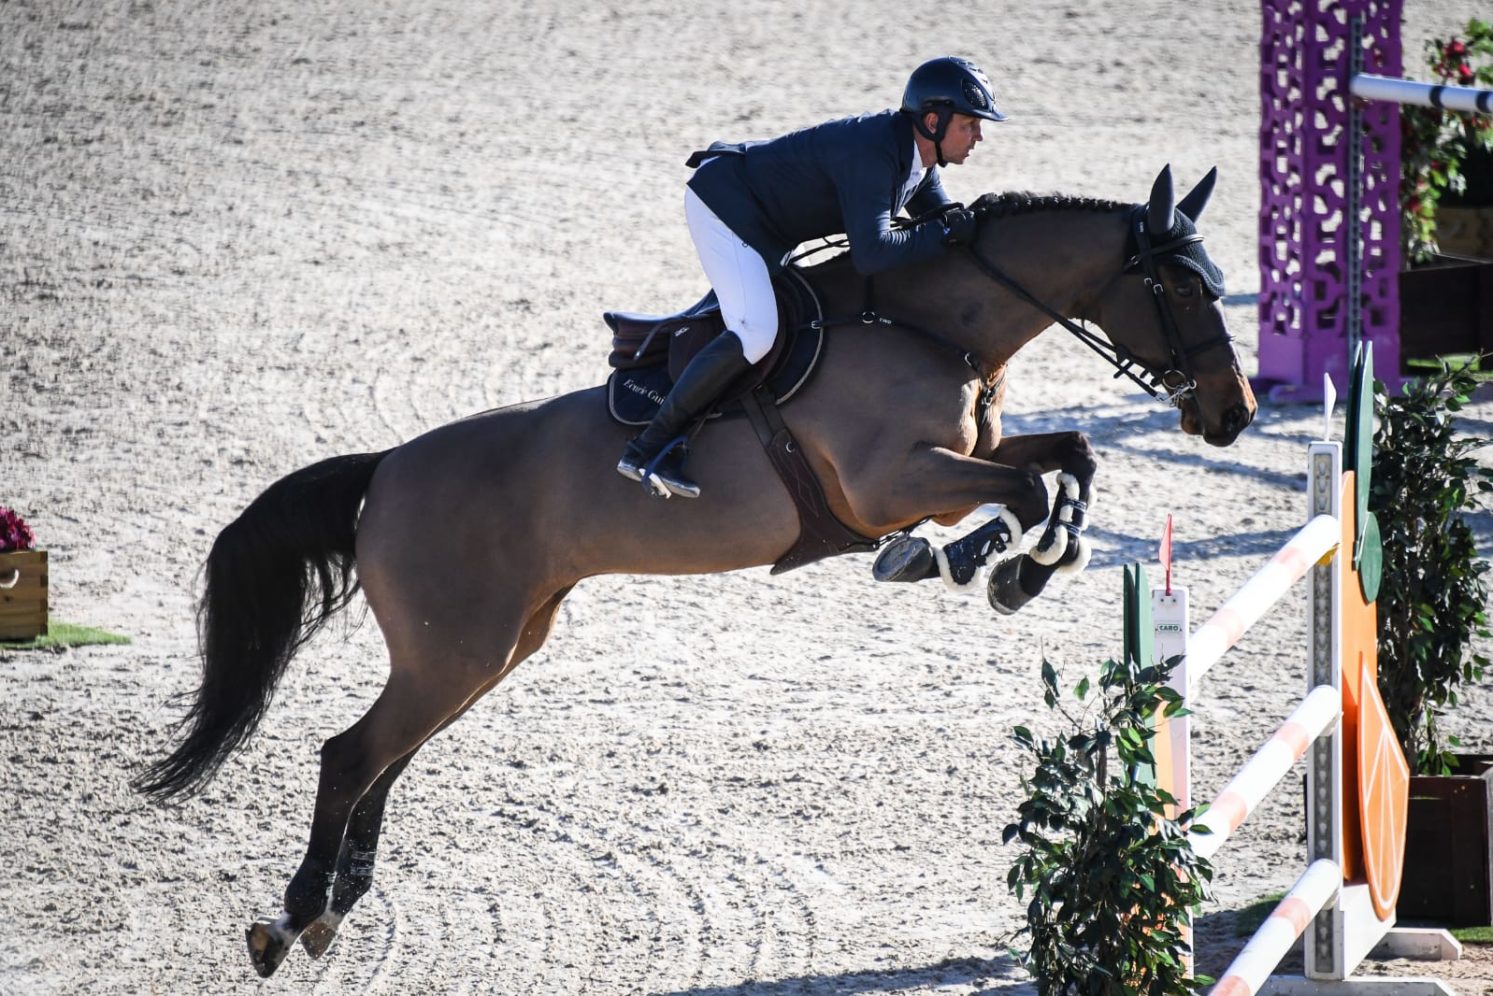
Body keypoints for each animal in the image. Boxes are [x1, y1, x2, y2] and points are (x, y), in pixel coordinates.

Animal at [135, 166, 1256, 978]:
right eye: (1181, 285)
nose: (1231, 413)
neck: (933, 324)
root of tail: (385, 468)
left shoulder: (951, 465)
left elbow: (1067, 458)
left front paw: (1034, 561)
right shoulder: (895, 481)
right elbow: (1014, 491)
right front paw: (983, 562)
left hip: (486, 650)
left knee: (383, 758)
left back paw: (332, 912)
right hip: (457, 652)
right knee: (349, 754)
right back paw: (288, 924)